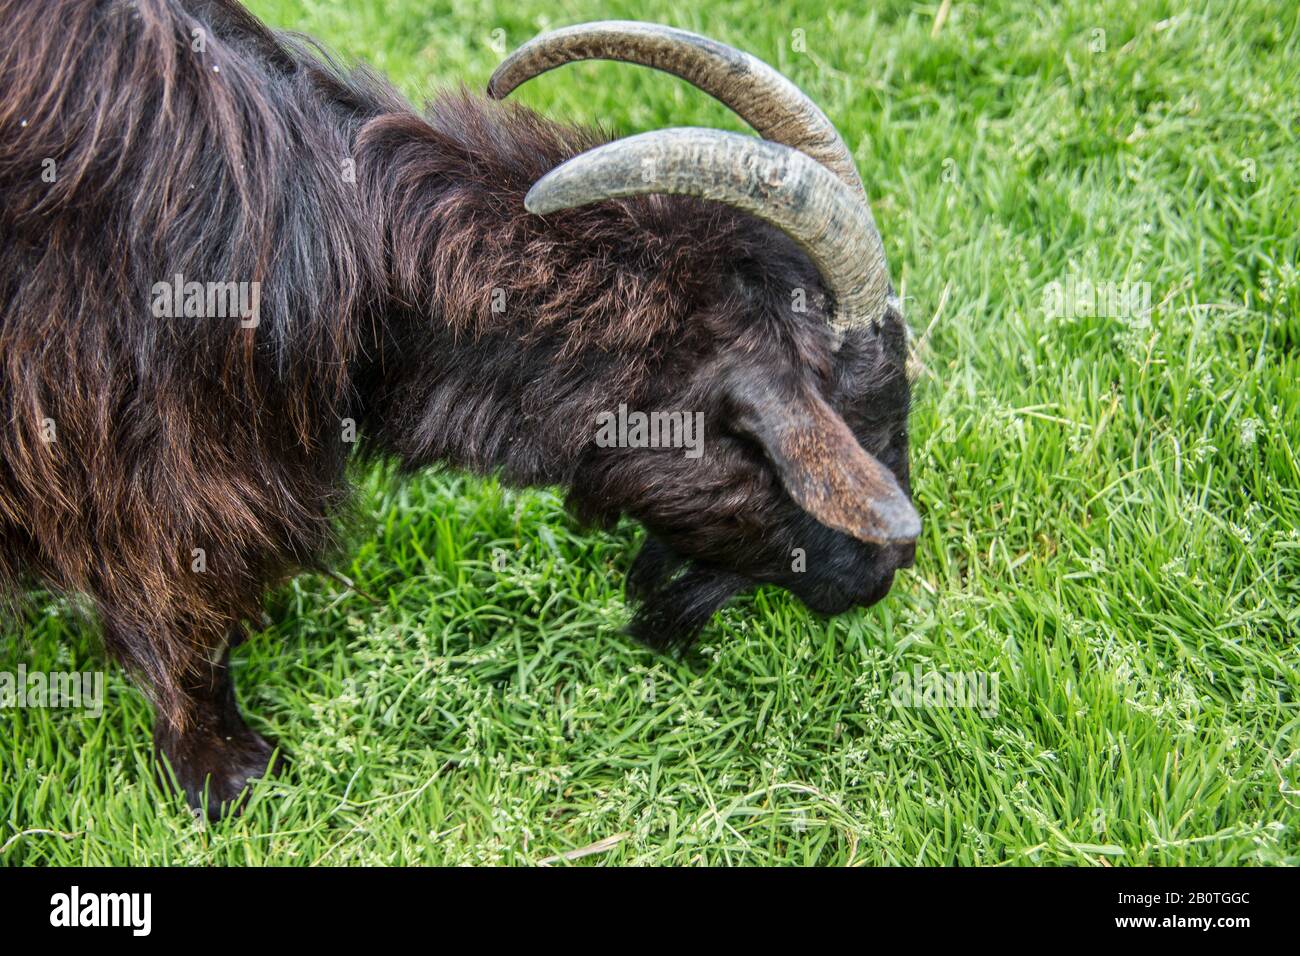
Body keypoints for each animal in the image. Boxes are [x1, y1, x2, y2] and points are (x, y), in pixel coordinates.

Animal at [0, 1, 919, 819]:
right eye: (852, 418)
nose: (886, 571)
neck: (334, 247)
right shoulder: (152, 458)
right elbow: (185, 609)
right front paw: (226, 780)